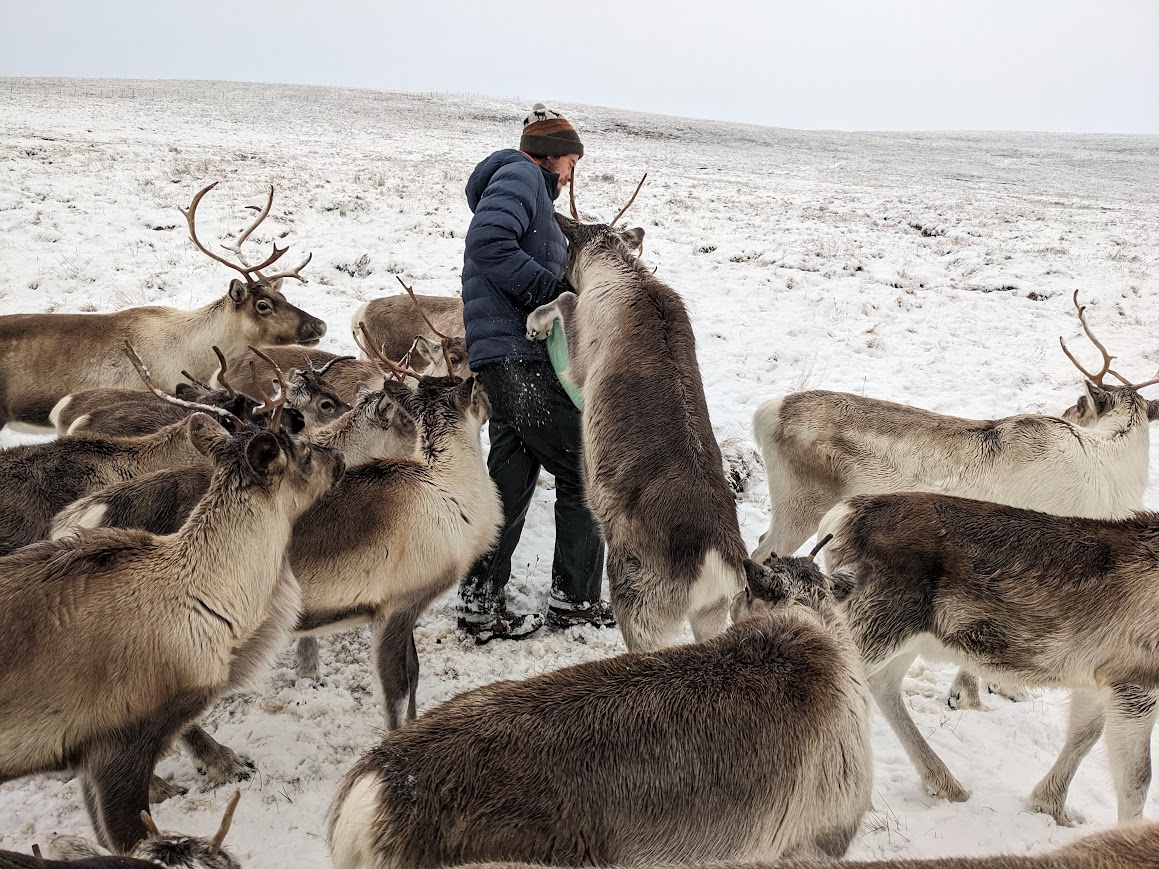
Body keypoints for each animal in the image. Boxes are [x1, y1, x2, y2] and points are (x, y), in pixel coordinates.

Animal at [523, 180, 746, 651]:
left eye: (567, 250)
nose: (560, 272)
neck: (623, 273)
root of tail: (720, 560)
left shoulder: (580, 360)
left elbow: (567, 299)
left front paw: (535, 321)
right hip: (711, 615)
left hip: (640, 601)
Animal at [752, 291, 1159, 710]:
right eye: (1081, 401)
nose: (1066, 411)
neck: (1109, 470)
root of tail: (765, 414)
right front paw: (976, 694)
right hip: (800, 506)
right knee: (758, 555)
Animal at [817, 489, 1159, 826]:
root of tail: (837, 517)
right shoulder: (1136, 680)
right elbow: (1137, 779)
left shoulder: (1098, 678)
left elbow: (1084, 736)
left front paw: (1051, 807)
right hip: (875, 622)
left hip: (902, 634)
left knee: (882, 686)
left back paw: (945, 783)